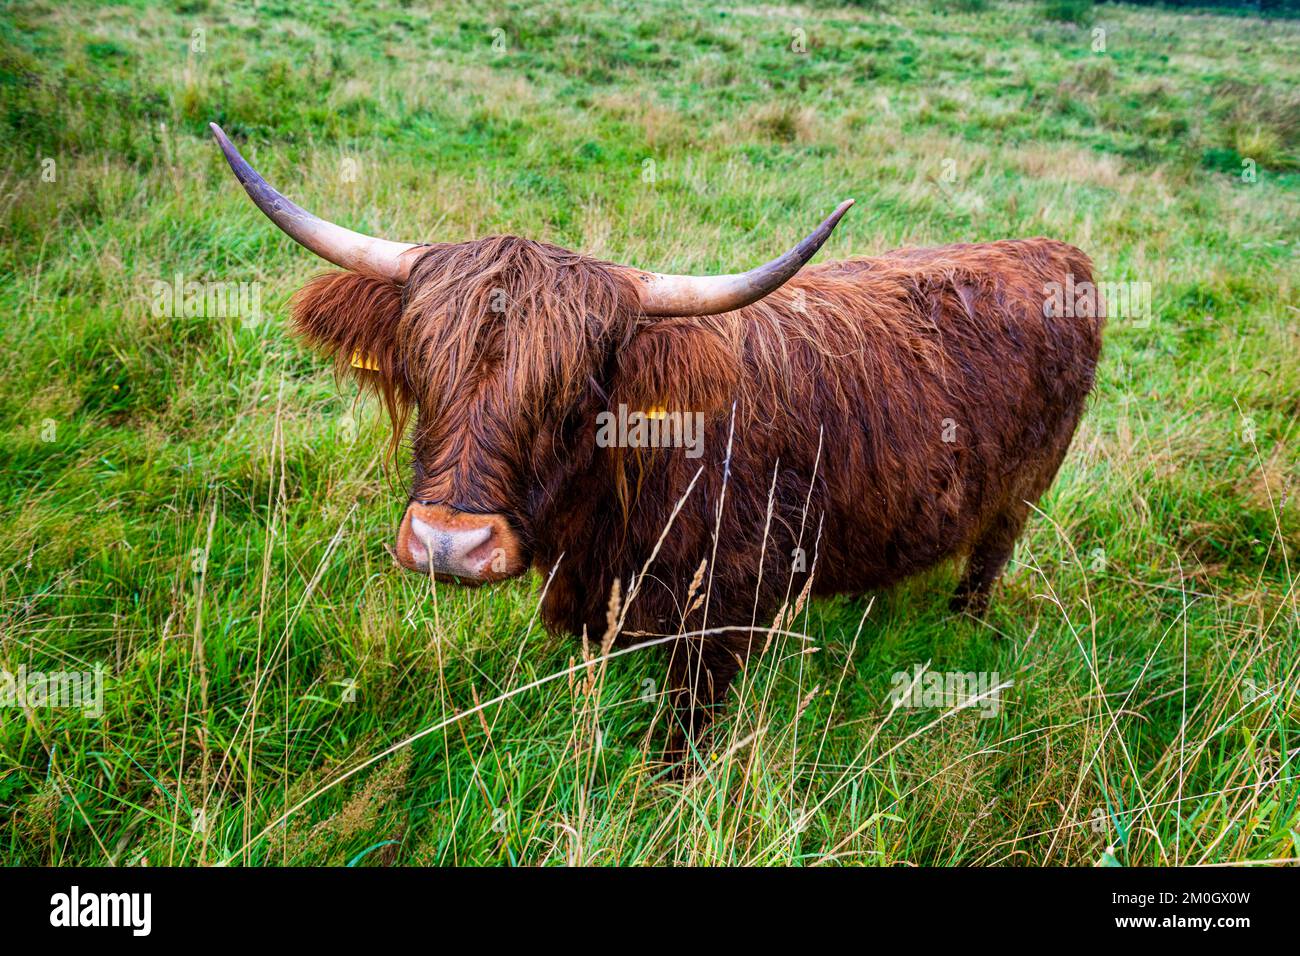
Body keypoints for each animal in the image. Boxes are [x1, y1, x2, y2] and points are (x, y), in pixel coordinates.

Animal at [210, 124, 1103, 762]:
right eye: (423, 366)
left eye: (577, 394)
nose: (448, 545)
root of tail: (1054, 250)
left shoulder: (725, 622)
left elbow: (680, 739)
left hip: (1021, 497)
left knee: (987, 562)